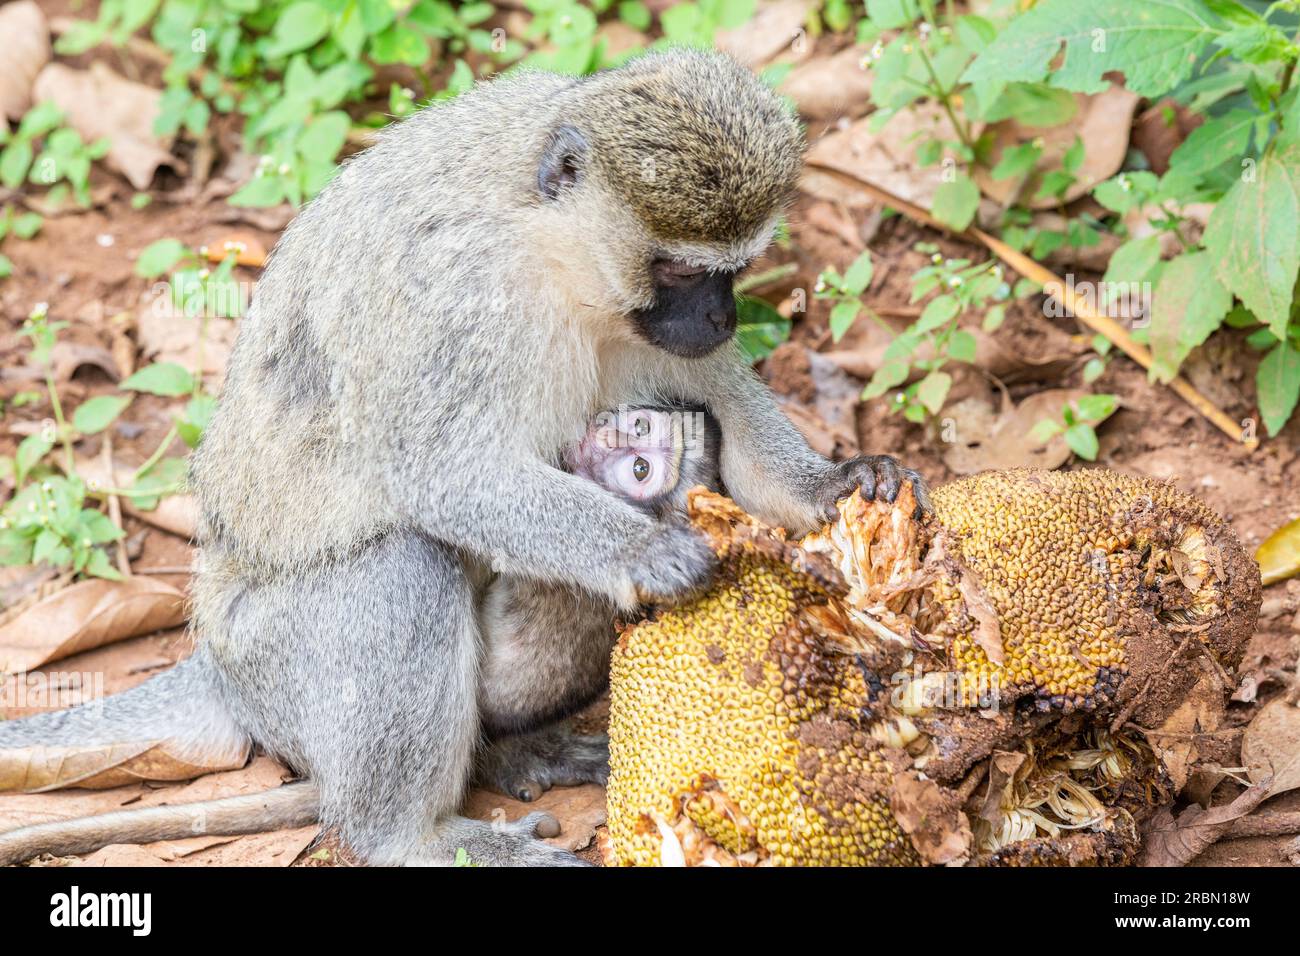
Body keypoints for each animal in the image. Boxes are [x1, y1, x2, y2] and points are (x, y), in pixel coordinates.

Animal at [0, 402, 724, 865]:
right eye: (639, 427)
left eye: (641, 468)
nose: (608, 437)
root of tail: (221, 668)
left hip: (274, 661)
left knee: (407, 561)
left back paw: (409, 841)